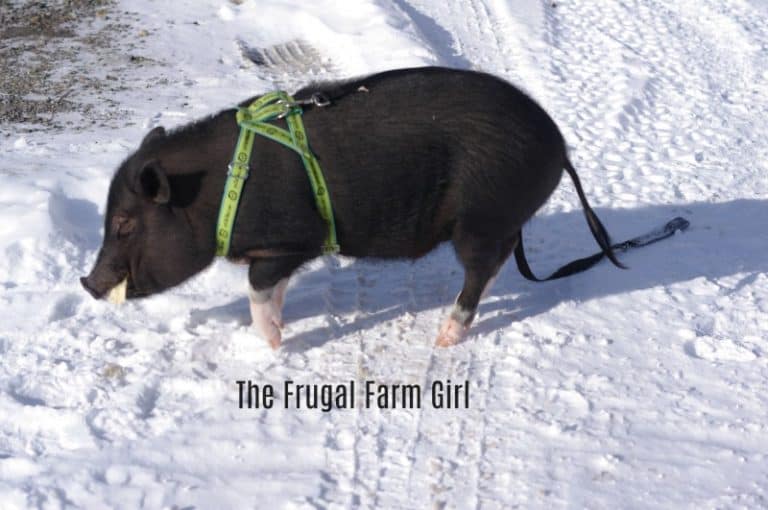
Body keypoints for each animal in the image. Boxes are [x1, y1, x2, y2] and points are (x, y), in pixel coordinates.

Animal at [81, 66, 622, 348]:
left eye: (124, 223)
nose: (87, 283)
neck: (220, 193)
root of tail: (559, 145)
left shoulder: (289, 241)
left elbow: (258, 289)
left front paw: (271, 346)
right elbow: (272, 291)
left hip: (482, 218)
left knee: (481, 270)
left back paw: (443, 339)